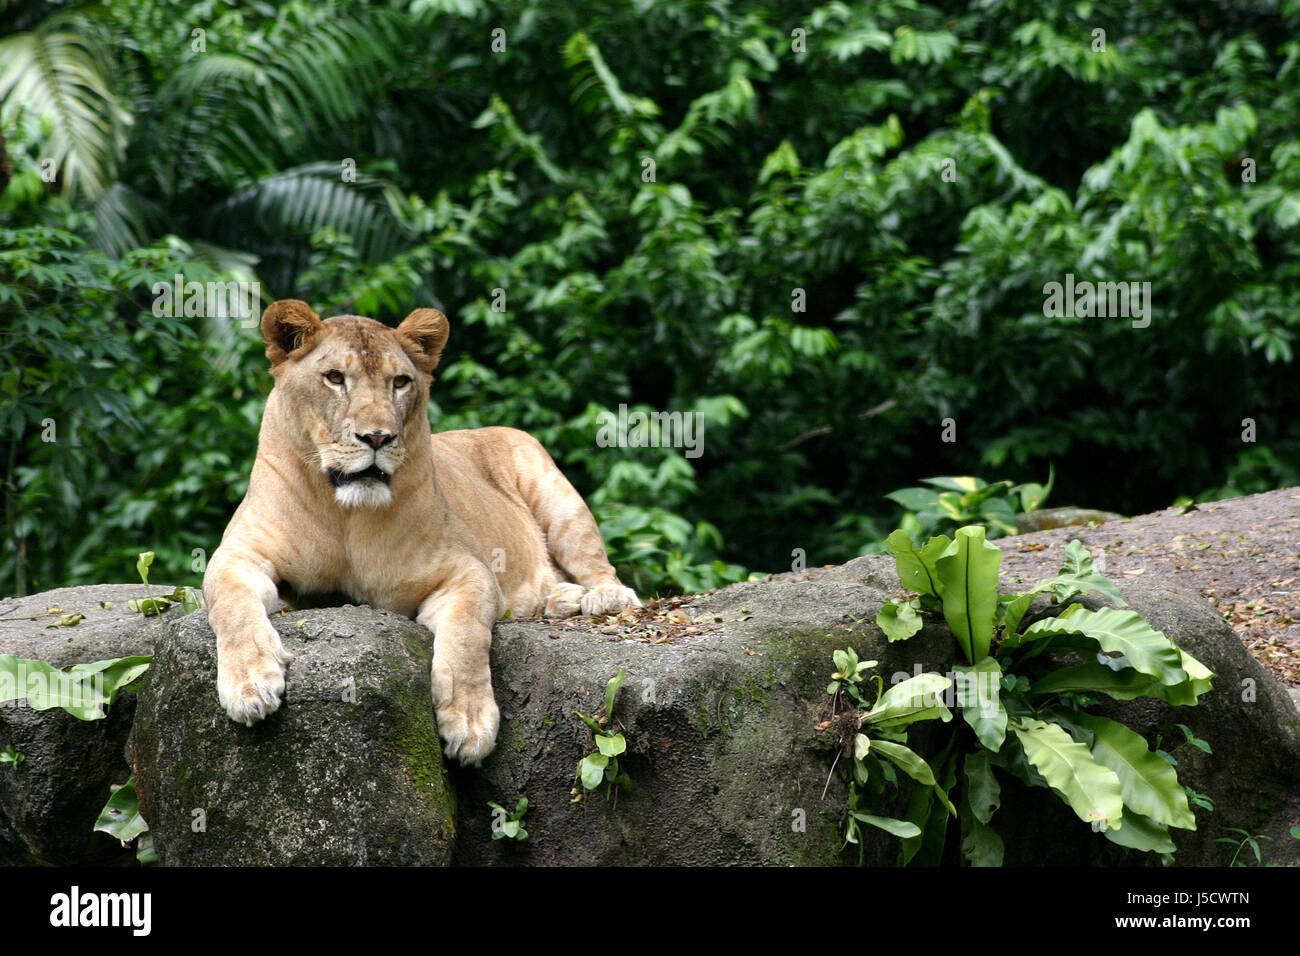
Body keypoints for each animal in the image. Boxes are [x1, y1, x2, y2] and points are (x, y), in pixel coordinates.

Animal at [203, 300, 641, 765]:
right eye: (335, 378)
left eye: (399, 382)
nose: (378, 437)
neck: (345, 516)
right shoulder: (236, 554)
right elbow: (232, 605)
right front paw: (250, 683)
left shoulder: (468, 570)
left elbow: (466, 636)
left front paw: (469, 722)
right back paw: (562, 598)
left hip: (556, 495)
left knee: (600, 569)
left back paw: (599, 597)